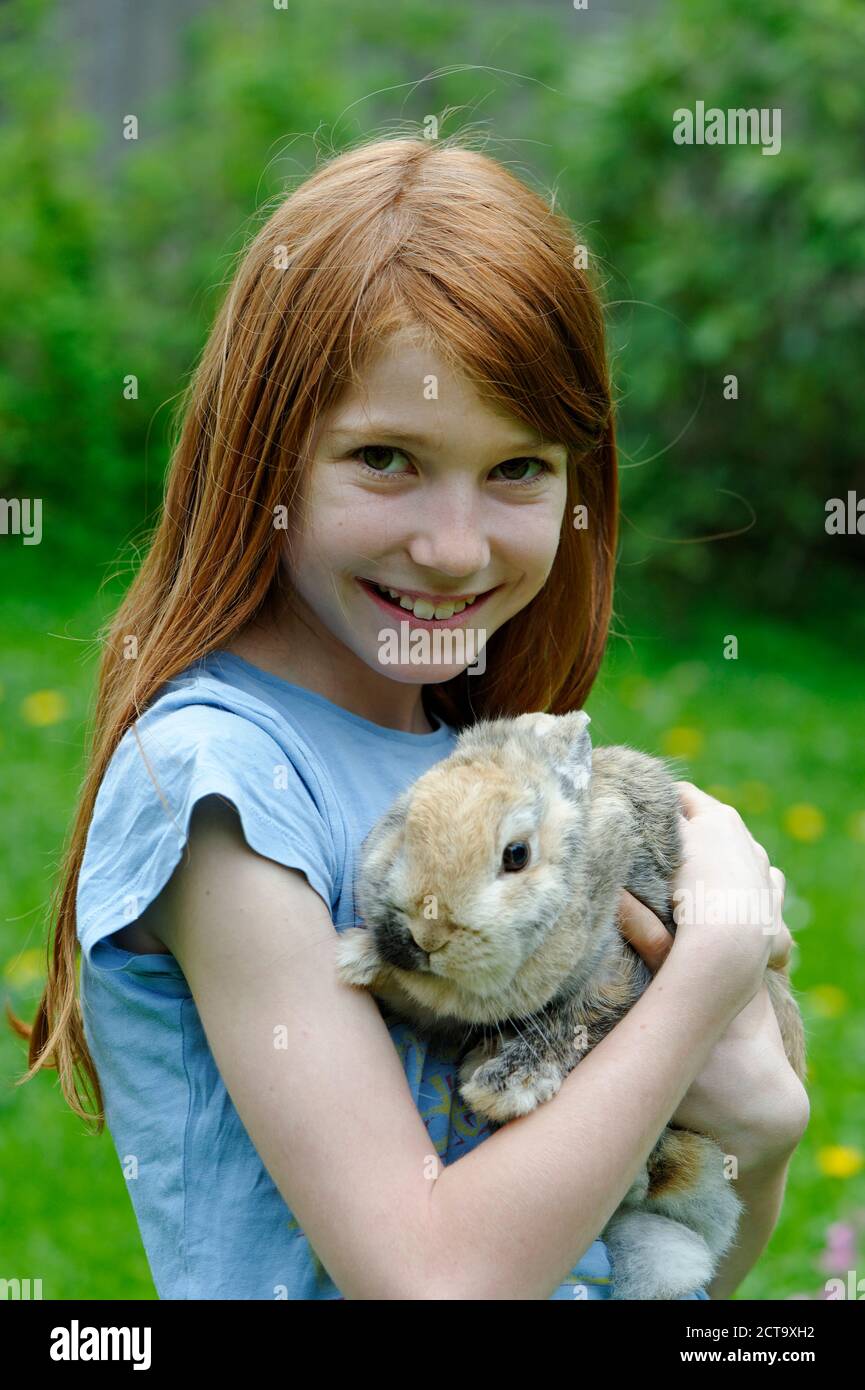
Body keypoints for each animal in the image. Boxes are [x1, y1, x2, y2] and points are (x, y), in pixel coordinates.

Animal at [337, 709, 807, 1299]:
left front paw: (504, 1087)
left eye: (516, 855)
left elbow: (579, 1023)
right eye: (404, 825)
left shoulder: (621, 973)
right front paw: (359, 959)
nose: (426, 935)